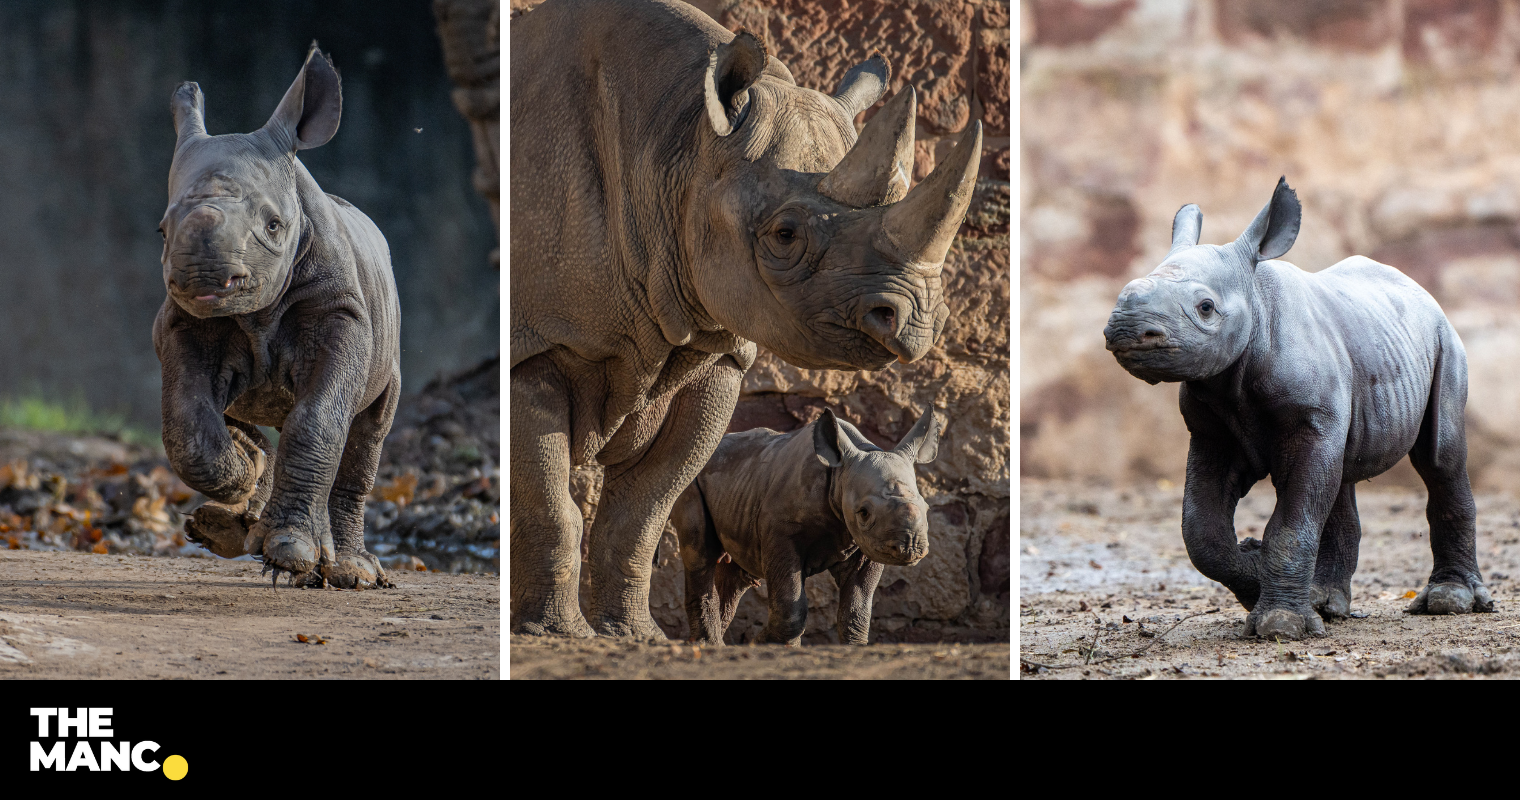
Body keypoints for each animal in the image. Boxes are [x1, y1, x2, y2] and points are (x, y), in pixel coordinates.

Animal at [156, 45, 401, 590]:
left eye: (273, 226)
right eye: (162, 231)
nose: (202, 276)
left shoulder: (340, 311)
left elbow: (319, 420)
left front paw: (290, 551)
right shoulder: (183, 324)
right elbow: (189, 424)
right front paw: (246, 474)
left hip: (386, 339)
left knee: (367, 429)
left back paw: (348, 570)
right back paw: (236, 517)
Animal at [671, 408, 941, 646]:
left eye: (927, 508)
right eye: (864, 513)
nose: (910, 548)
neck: (839, 474)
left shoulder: (867, 544)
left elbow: (857, 610)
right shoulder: (782, 533)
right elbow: (791, 605)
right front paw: (763, 644)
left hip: (740, 483)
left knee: (735, 576)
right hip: (691, 478)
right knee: (700, 554)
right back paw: (710, 645)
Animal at [1103, 177, 1494, 640]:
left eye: (1205, 307)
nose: (1126, 328)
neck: (1256, 302)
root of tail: (1423, 292)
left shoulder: (1309, 417)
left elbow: (1292, 523)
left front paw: (1280, 624)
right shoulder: (1211, 431)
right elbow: (1201, 531)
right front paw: (1258, 580)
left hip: (1444, 341)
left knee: (1440, 458)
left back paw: (1448, 602)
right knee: (1341, 473)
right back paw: (1327, 604)